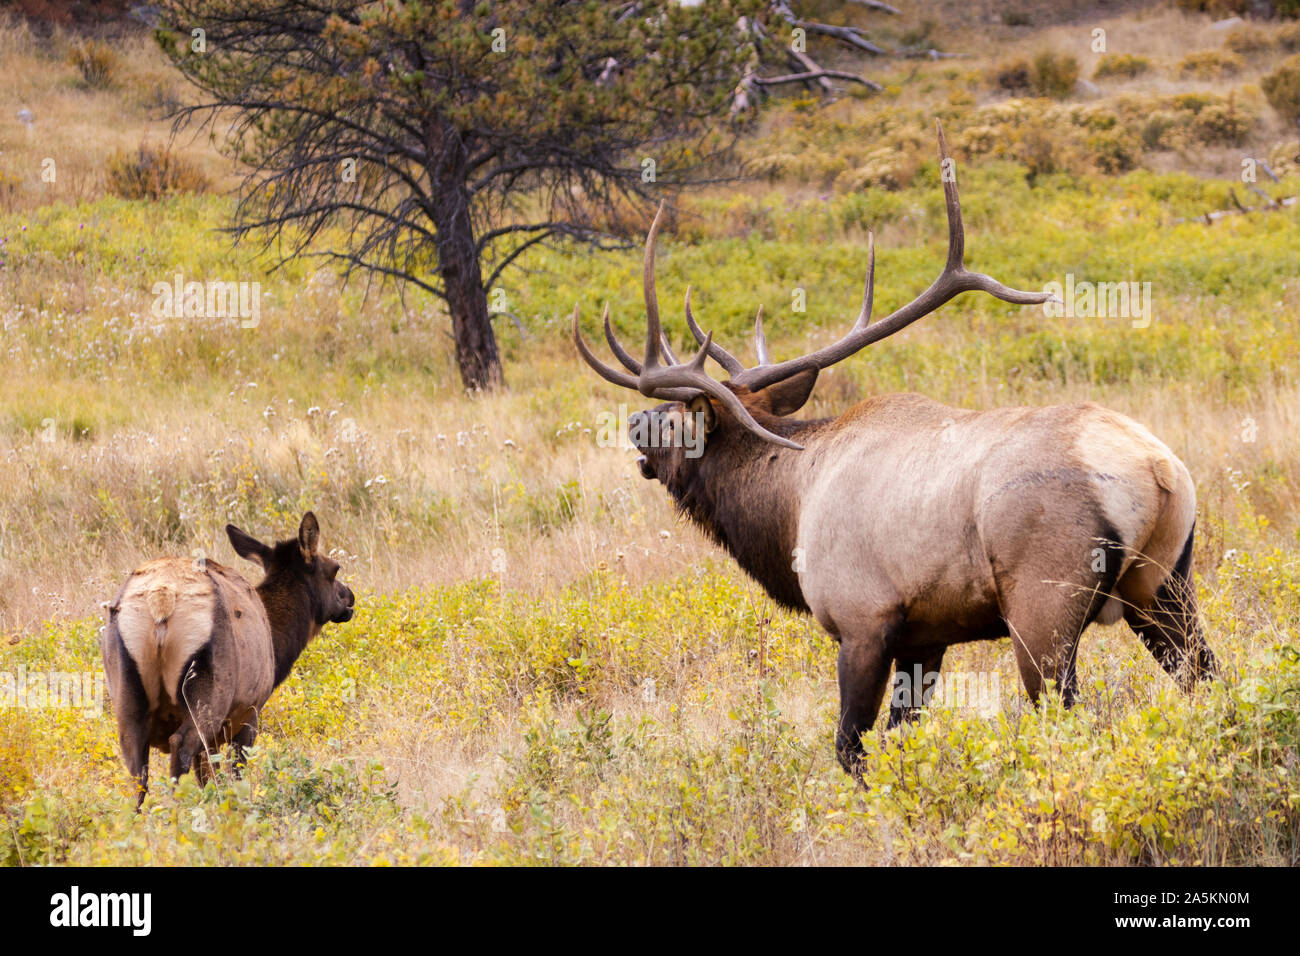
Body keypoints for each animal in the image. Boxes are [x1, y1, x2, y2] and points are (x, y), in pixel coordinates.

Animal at [100, 512, 355, 805]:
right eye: (334, 568)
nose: (350, 597)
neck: (277, 646)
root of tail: (161, 599)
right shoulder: (249, 714)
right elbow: (233, 773)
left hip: (125, 695)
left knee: (136, 775)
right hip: (209, 691)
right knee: (181, 747)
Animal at [574, 123, 1217, 779]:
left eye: (675, 416)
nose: (633, 424)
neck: (788, 509)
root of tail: (1159, 472)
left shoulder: (863, 622)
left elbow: (850, 747)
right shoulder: (925, 635)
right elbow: (903, 737)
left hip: (1044, 606)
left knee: (1068, 716)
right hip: (1164, 586)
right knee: (1207, 679)